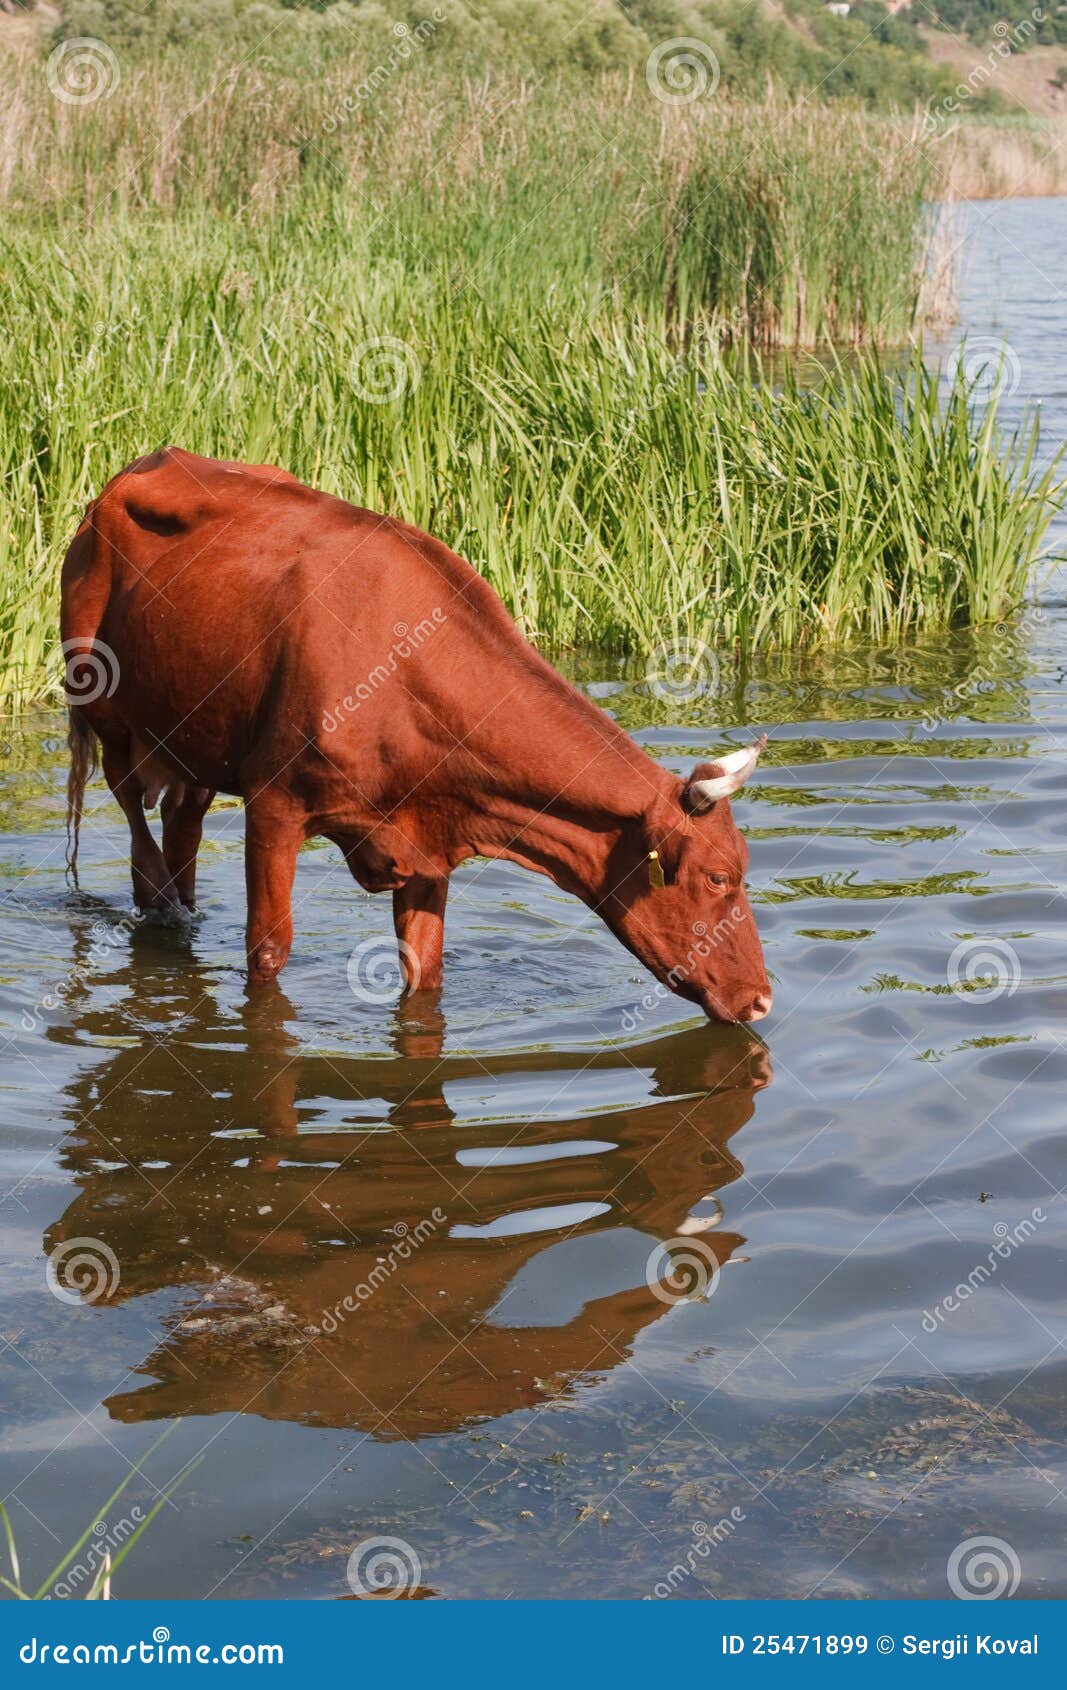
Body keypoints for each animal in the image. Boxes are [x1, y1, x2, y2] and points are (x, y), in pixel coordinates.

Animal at [60, 448, 771, 1023]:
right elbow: (268, 953)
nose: (763, 1000)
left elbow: (424, 974)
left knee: (182, 827)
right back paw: (163, 911)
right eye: (717, 878)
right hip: (109, 715)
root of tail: (129, 475)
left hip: (196, 746)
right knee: (139, 835)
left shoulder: (429, 850)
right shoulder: (274, 809)